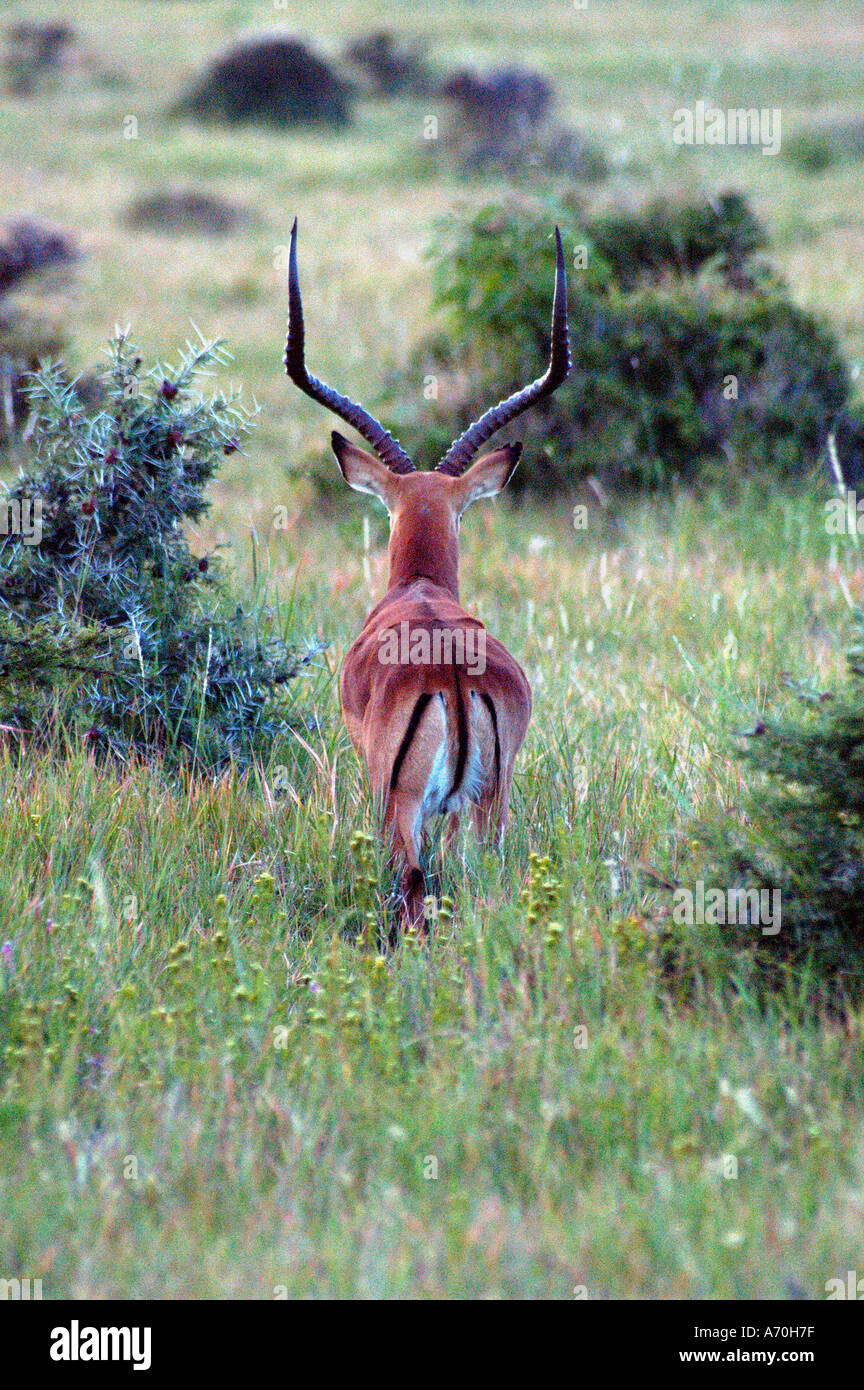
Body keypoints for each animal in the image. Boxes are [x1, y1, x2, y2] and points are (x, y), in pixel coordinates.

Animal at [284, 219, 570, 934]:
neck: (420, 588)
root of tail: (450, 673)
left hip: (404, 804)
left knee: (413, 887)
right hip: (487, 806)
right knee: (481, 883)